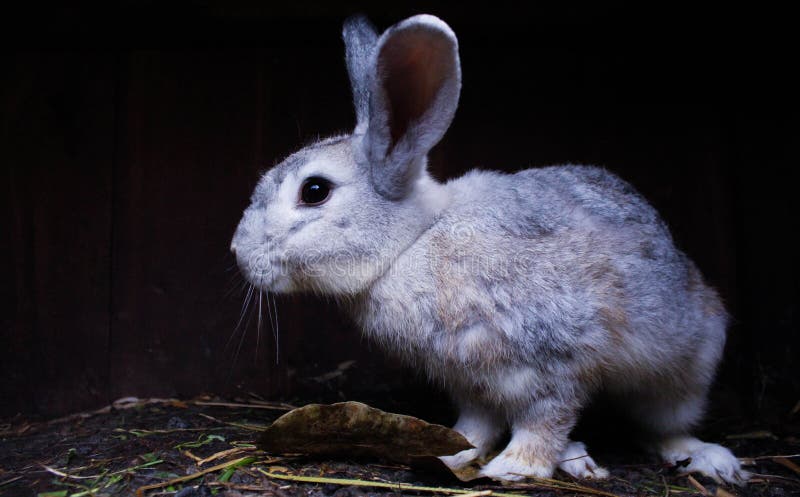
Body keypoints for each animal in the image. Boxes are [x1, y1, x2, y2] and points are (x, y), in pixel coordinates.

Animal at [231, 14, 748, 485]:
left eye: (314, 190)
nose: (238, 252)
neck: (414, 241)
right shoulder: (470, 381)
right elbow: (476, 425)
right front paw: (453, 455)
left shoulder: (556, 360)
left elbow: (546, 420)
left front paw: (516, 468)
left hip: (684, 370)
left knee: (665, 427)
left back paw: (712, 462)